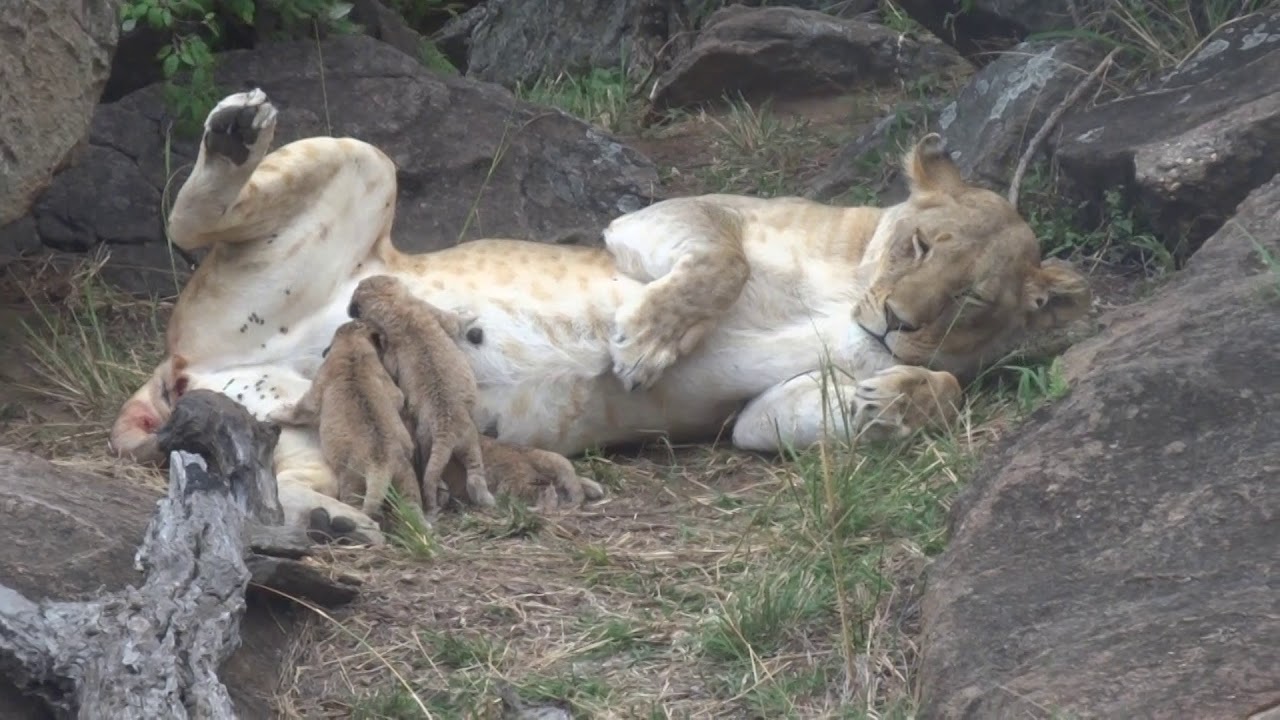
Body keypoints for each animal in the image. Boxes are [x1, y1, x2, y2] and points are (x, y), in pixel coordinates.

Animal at [267, 319, 421, 528]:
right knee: (413, 504)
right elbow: (397, 398)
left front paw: (275, 414)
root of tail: (381, 465)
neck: (351, 345)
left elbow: (300, 410)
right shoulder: (389, 386)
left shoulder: (316, 390)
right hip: (405, 476)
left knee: (354, 504)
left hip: (352, 482)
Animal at [347, 274, 496, 517]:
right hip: (451, 442)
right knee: (446, 475)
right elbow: (454, 322)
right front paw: (469, 315)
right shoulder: (431, 312)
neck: (393, 308)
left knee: (466, 476)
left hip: (462, 441)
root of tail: (446, 431)